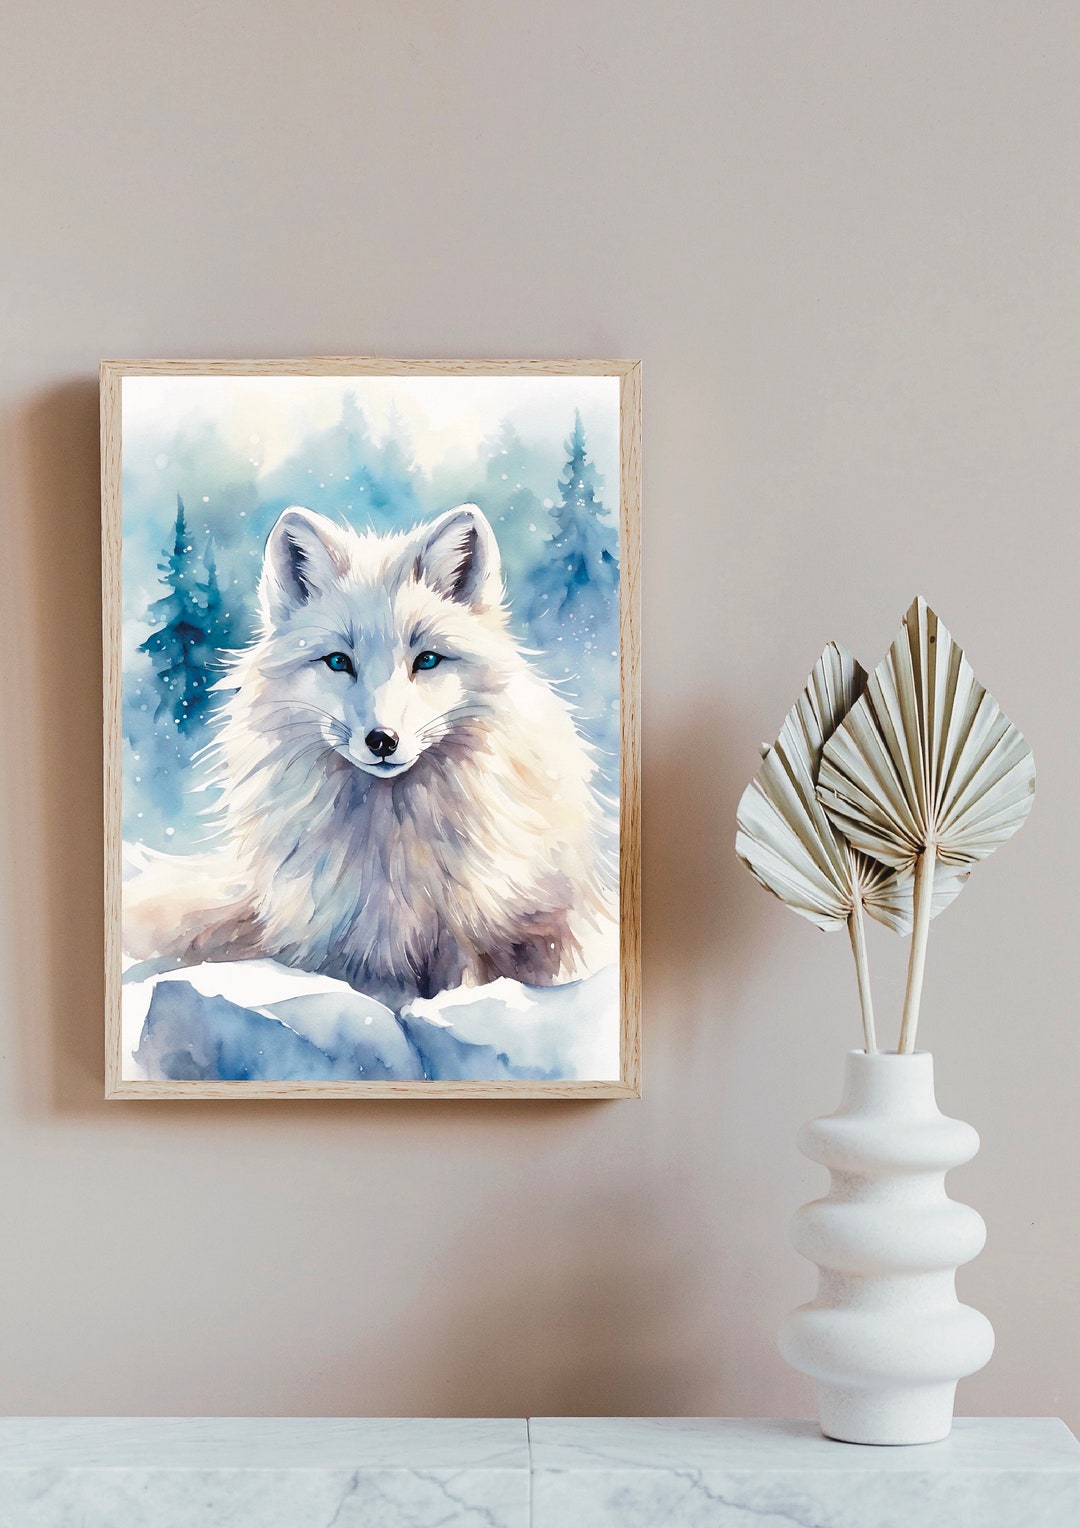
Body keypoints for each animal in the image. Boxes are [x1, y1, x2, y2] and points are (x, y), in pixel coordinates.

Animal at [124, 503, 617, 1010]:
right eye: (339, 662)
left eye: (427, 660)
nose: (382, 740)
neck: (395, 852)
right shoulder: (354, 944)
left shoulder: (477, 930)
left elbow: (468, 978)